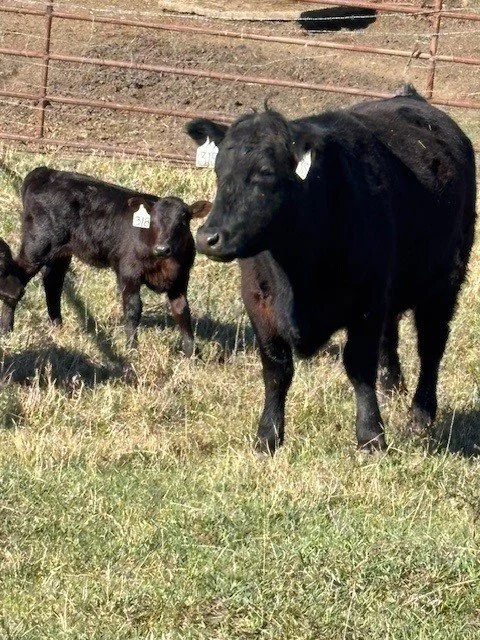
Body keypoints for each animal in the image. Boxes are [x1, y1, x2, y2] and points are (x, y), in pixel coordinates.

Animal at [0, 167, 211, 354]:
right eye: (153, 220)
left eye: (182, 221)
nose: (162, 249)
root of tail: (46, 172)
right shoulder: (128, 272)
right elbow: (133, 309)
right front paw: (132, 349)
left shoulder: (180, 279)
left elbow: (182, 312)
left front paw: (192, 353)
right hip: (36, 247)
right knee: (17, 280)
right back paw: (6, 328)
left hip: (60, 253)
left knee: (53, 283)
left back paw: (57, 326)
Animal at [186, 85, 477, 454]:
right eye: (218, 171)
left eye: (265, 173)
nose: (208, 237)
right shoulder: (258, 302)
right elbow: (276, 369)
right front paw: (268, 437)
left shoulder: (367, 303)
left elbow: (359, 366)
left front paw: (370, 436)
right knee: (391, 333)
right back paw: (392, 387)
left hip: (445, 281)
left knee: (431, 345)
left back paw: (420, 416)